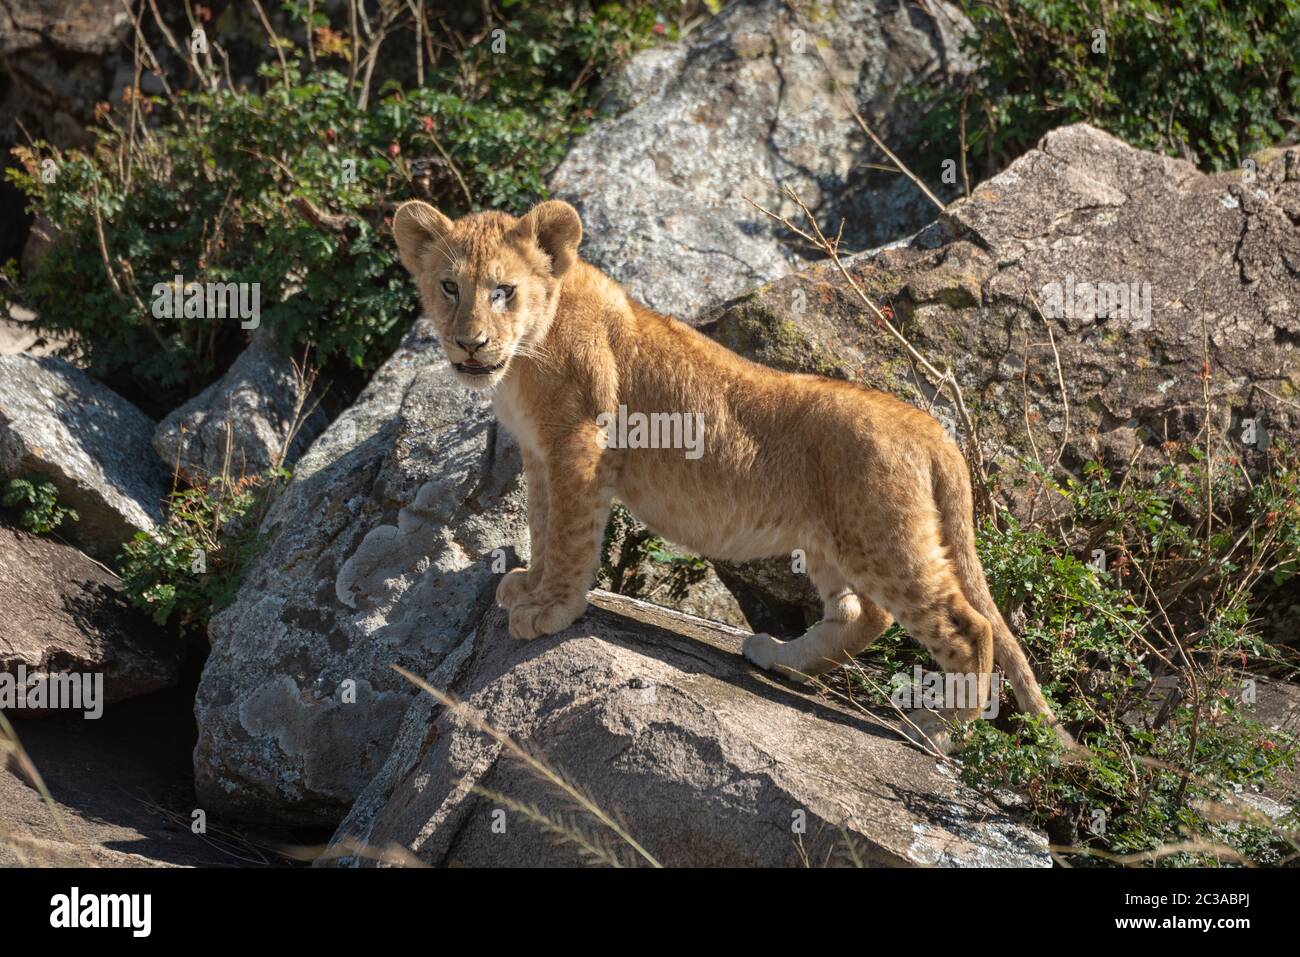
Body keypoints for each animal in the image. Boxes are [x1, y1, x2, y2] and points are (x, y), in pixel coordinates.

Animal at [393, 198, 1069, 748]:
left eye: (503, 290)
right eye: (449, 287)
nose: (470, 344)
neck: (526, 351)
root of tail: (931, 428)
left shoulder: (580, 447)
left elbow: (569, 539)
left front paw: (551, 610)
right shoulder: (538, 455)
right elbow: (540, 525)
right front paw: (529, 586)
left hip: (886, 537)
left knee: (968, 626)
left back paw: (934, 727)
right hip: (832, 538)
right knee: (862, 615)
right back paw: (781, 656)